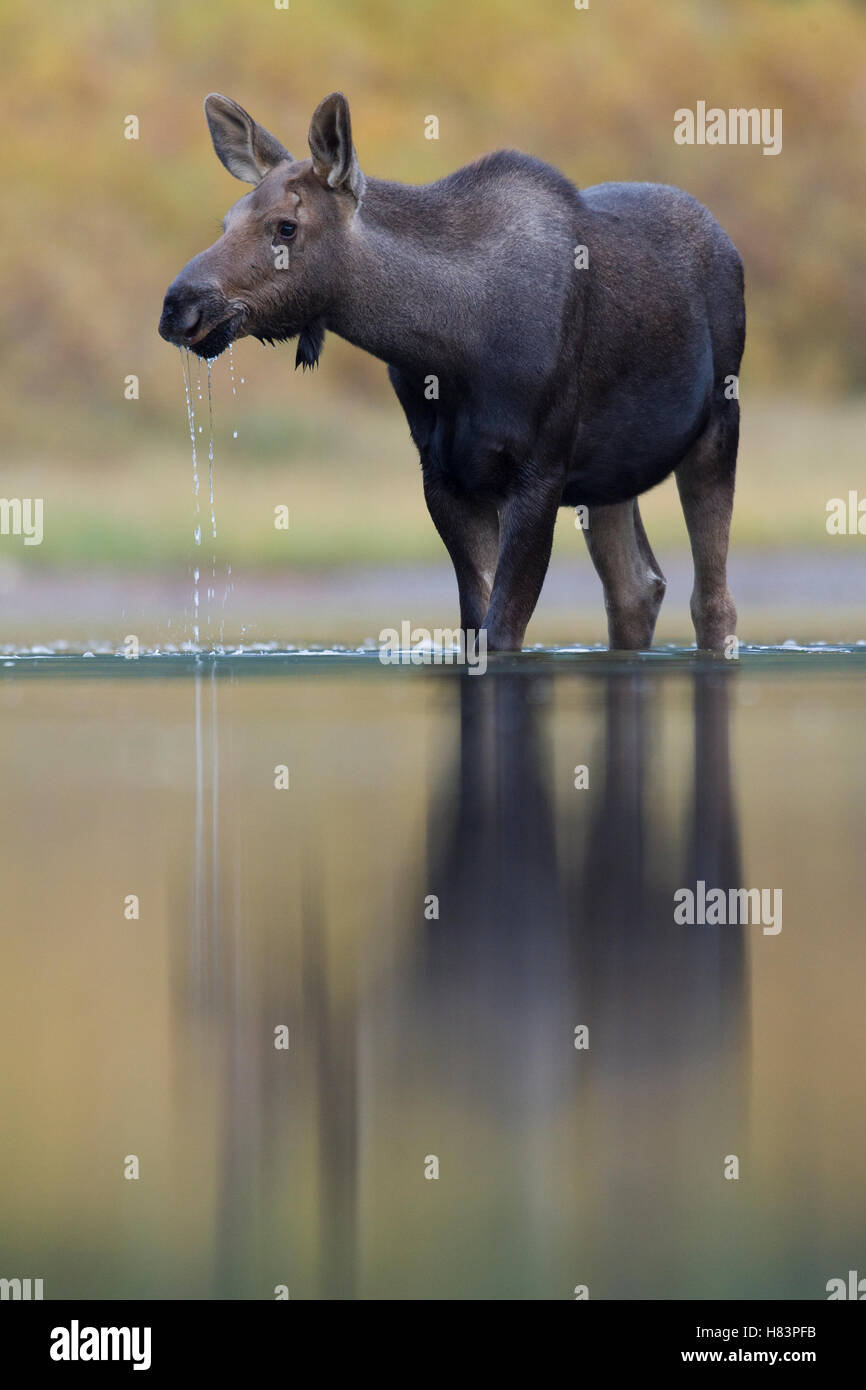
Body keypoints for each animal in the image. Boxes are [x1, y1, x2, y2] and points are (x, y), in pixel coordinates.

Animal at [159, 92, 745, 653]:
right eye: (226, 222)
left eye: (286, 226)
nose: (179, 306)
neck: (451, 344)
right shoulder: (442, 474)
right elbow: (472, 624)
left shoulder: (540, 470)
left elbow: (501, 630)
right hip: (609, 476)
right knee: (636, 587)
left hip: (718, 425)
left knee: (712, 600)